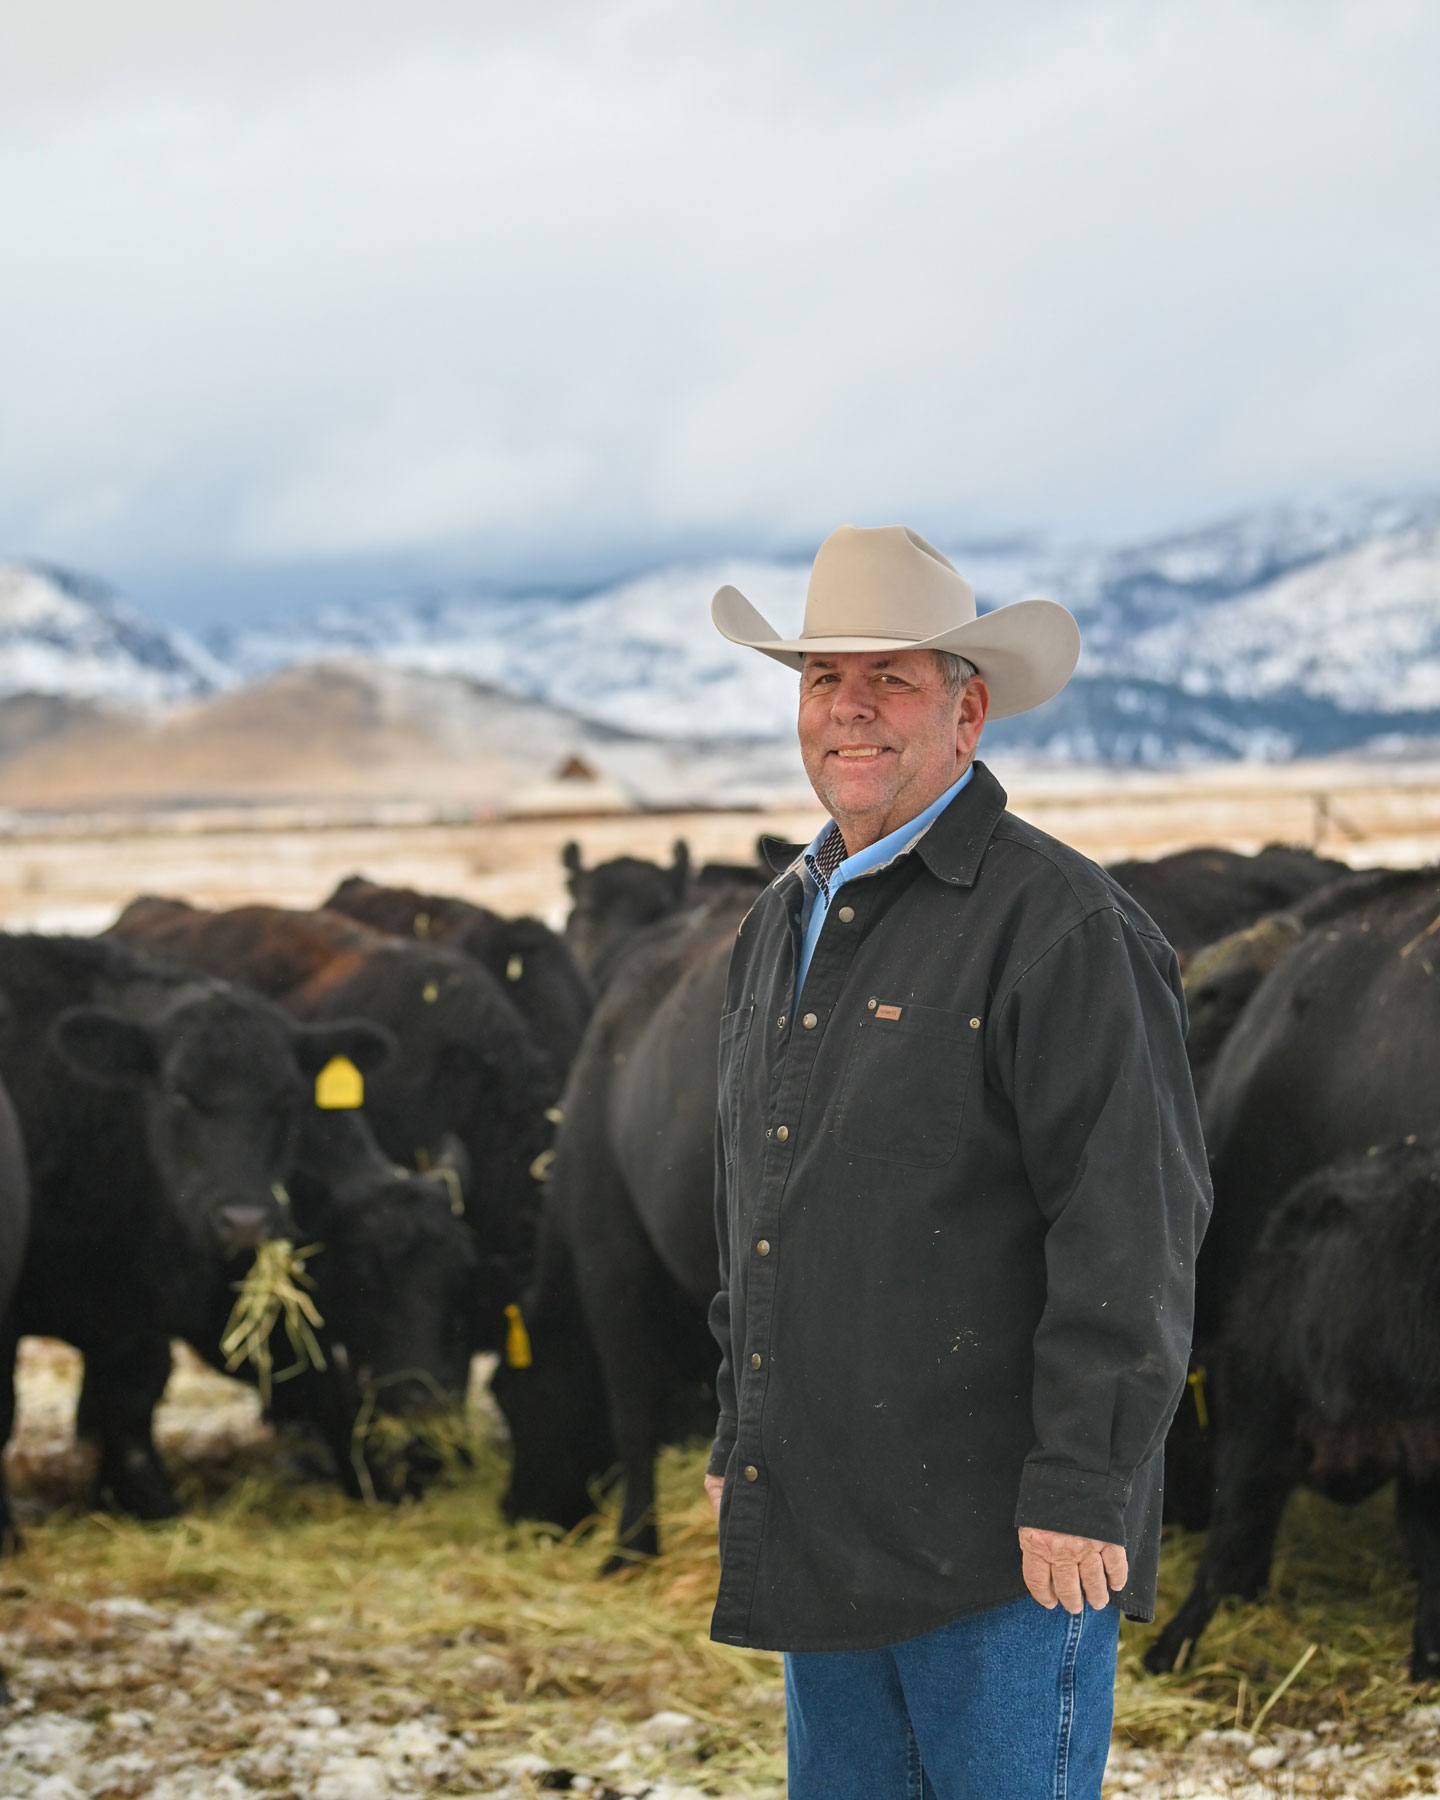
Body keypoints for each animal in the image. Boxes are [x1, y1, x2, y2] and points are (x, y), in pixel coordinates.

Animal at [0, 932, 388, 1526]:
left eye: (287, 1100)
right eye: (180, 1093)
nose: (243, 1219)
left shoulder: (136, 1312)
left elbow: (130, 1405)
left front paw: (151, 1507)